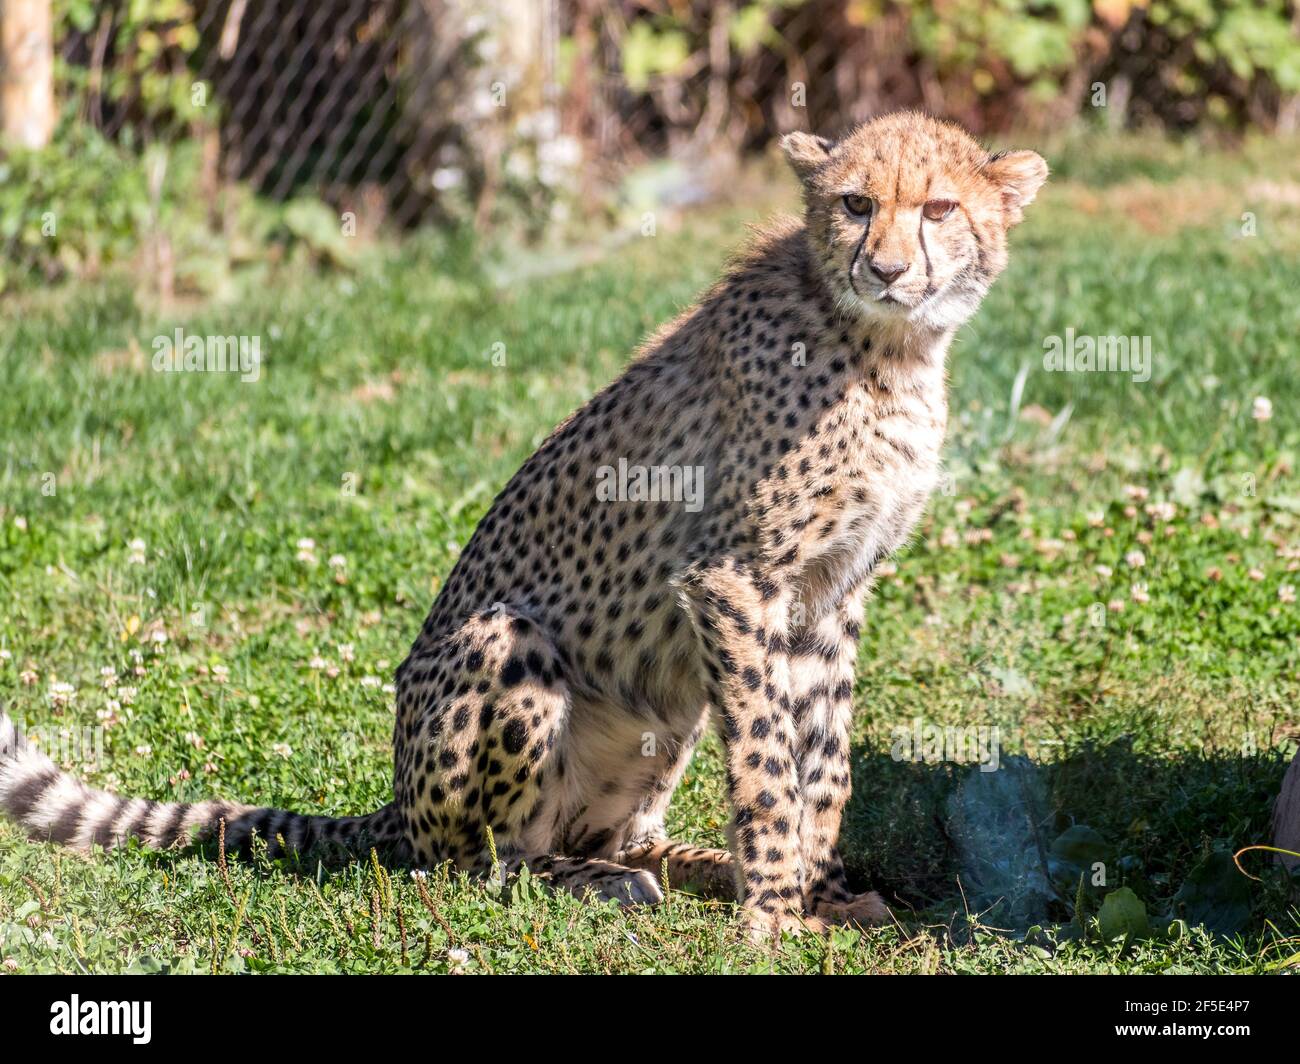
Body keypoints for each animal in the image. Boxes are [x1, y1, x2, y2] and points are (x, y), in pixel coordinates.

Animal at [0, 111, 1047, 940]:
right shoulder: (733, 580)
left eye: (939, 210)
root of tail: (392, 806)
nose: (886, 269)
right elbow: (766, 762)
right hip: (507, 653)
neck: (886, 349)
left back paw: (684, 863)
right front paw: (773, 915)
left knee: (618, 830)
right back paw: (601, 881)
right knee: (480, 861)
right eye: (856, 205)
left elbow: (823, 764)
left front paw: (819, 894)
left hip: (665, 716)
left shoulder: (832, 592)